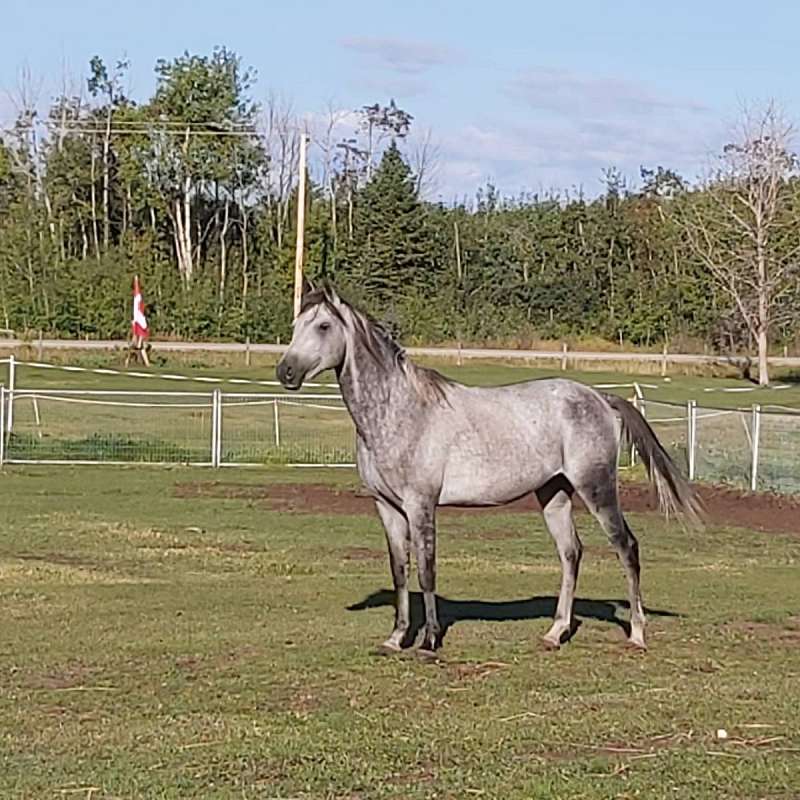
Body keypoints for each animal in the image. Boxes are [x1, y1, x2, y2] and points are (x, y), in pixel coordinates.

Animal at [276, 284, 702, 654]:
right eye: (295, 326)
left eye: (323, 326)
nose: (285, 372)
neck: (400, 410)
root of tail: (600, 397)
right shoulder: (386, 506)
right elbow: (400, 570)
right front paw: (395, 639)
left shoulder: (420, 505)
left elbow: (427, 570)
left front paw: (429, 642)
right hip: (554, 492)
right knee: (571, 553)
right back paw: (554, 633)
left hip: (596, 487)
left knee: (626, 547)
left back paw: (637, 635)